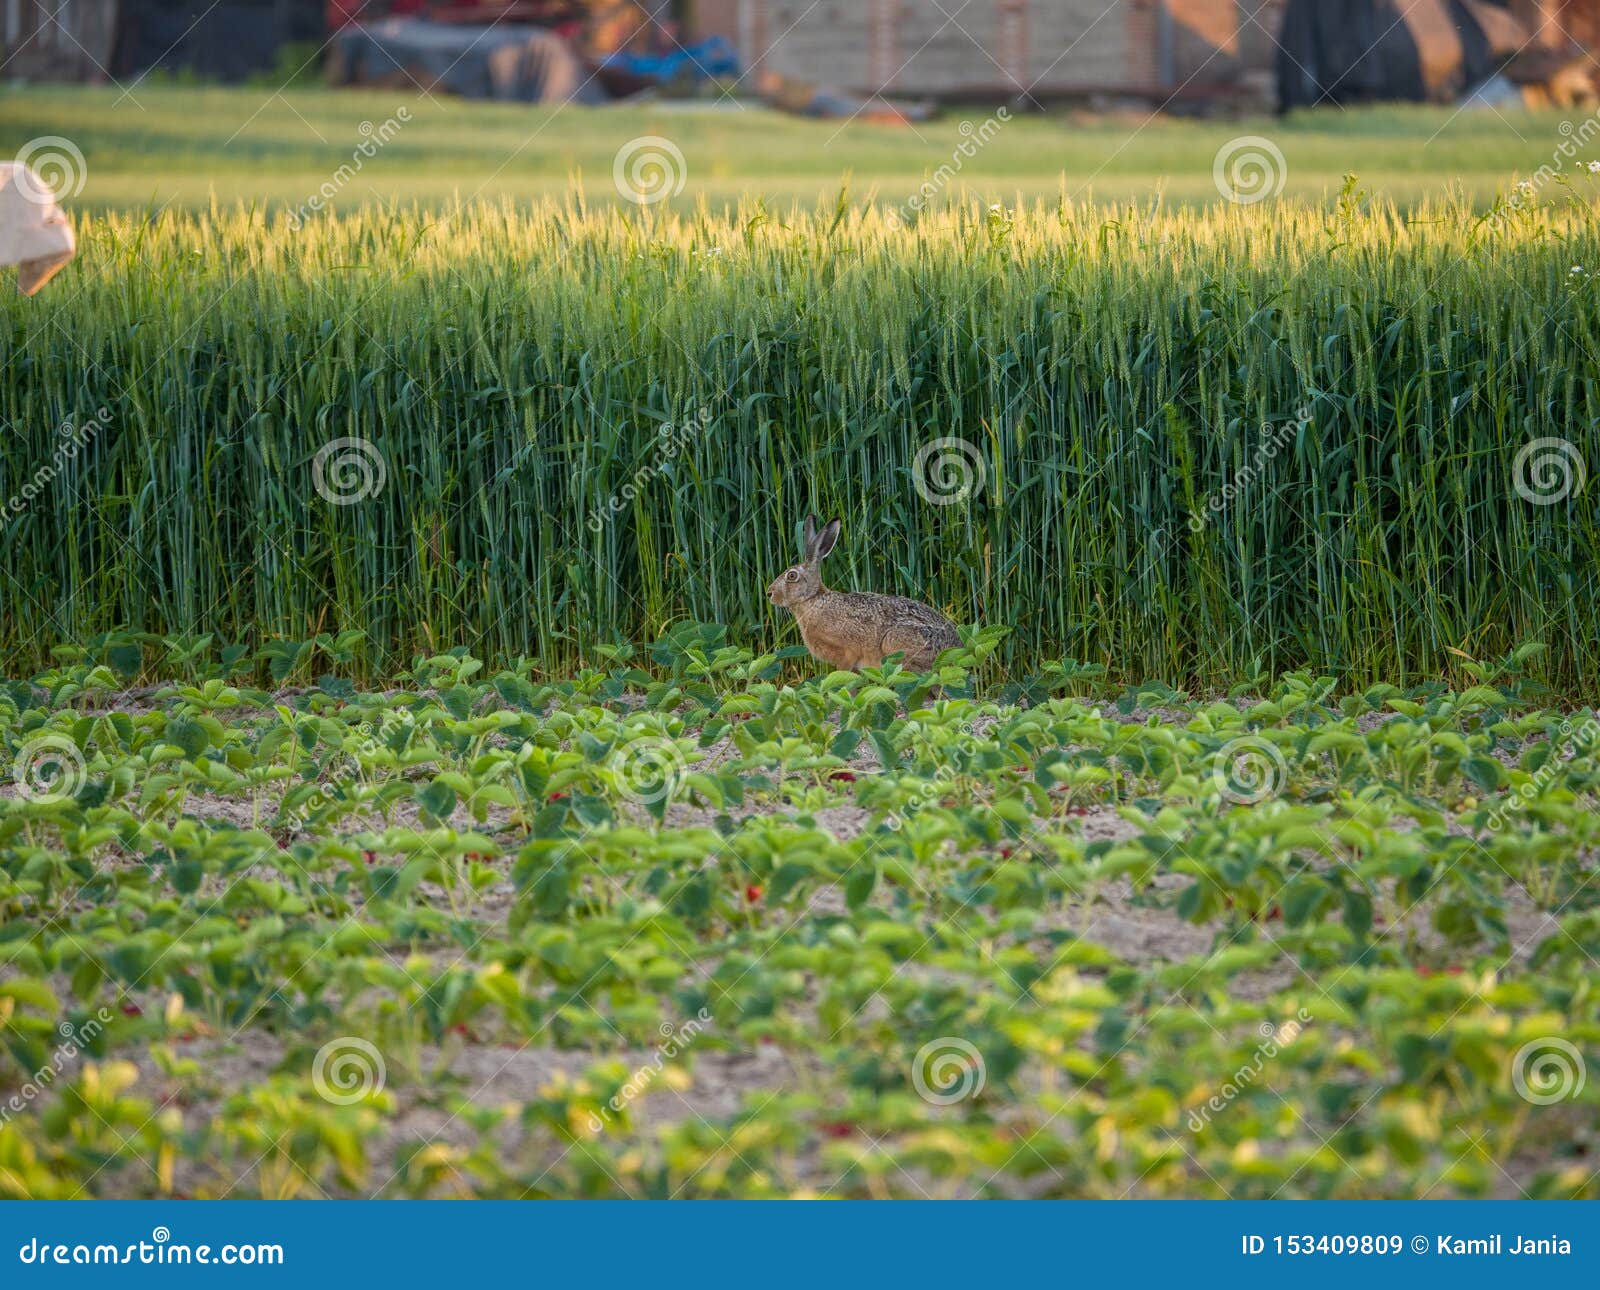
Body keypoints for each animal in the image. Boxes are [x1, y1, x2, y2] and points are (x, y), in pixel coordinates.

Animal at [767, 515, 960, 671]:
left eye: (792, 576)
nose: (769, 593)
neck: (813, 599)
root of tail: (958, 647)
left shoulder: (847, 652)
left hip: (895, 646)